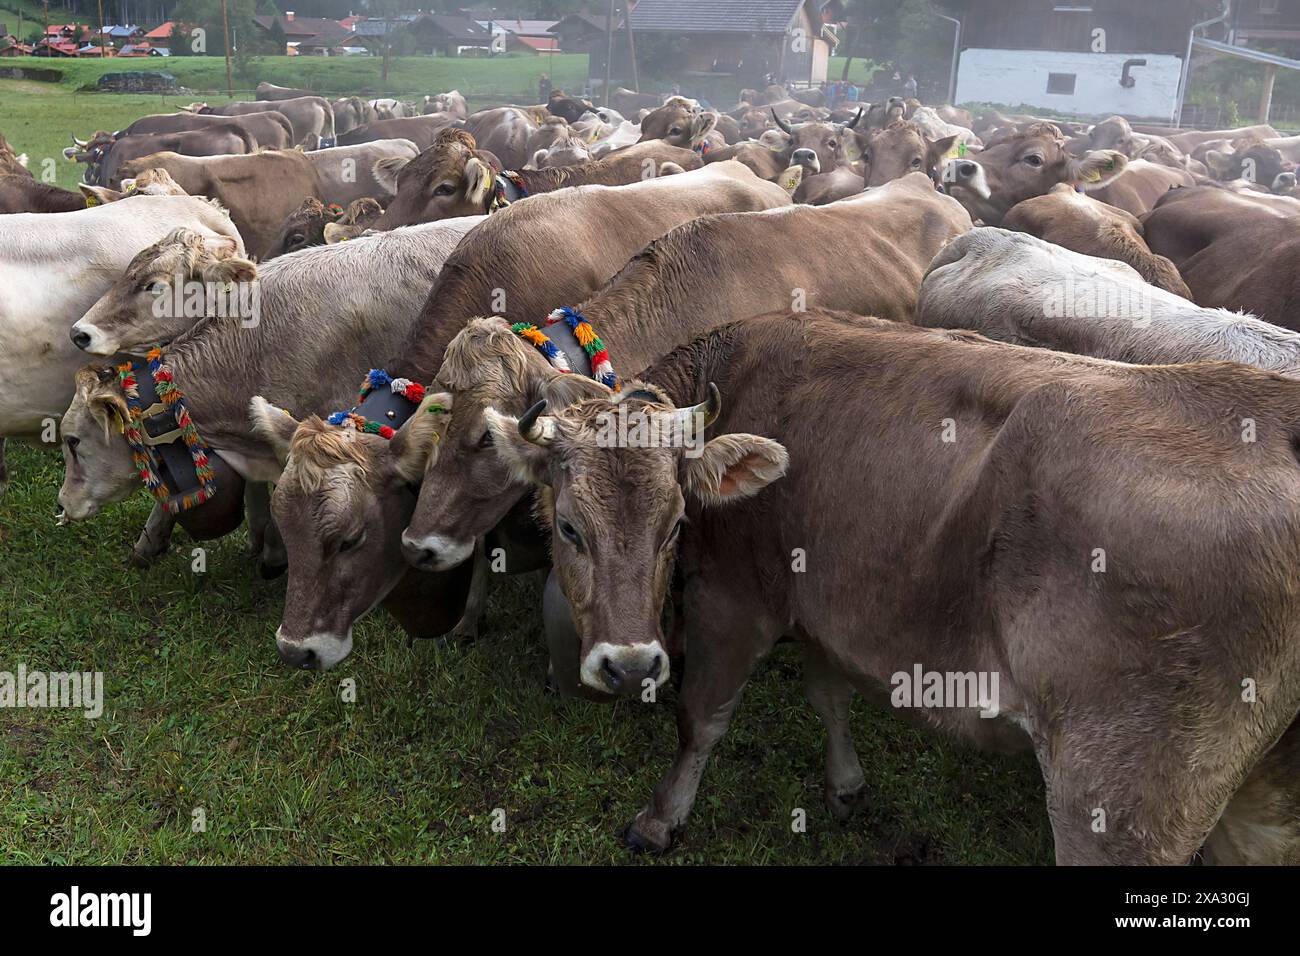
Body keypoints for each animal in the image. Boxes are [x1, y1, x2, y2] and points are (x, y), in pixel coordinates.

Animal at [481, 308, 1300, 863]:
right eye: (569, 528)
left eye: (677, 523)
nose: (628, 666)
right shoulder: (823, 606)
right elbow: (829, 695)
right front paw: (846, 786)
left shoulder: (734, 600)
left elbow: (701, 719)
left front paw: (660, 820)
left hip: (1120, 799)